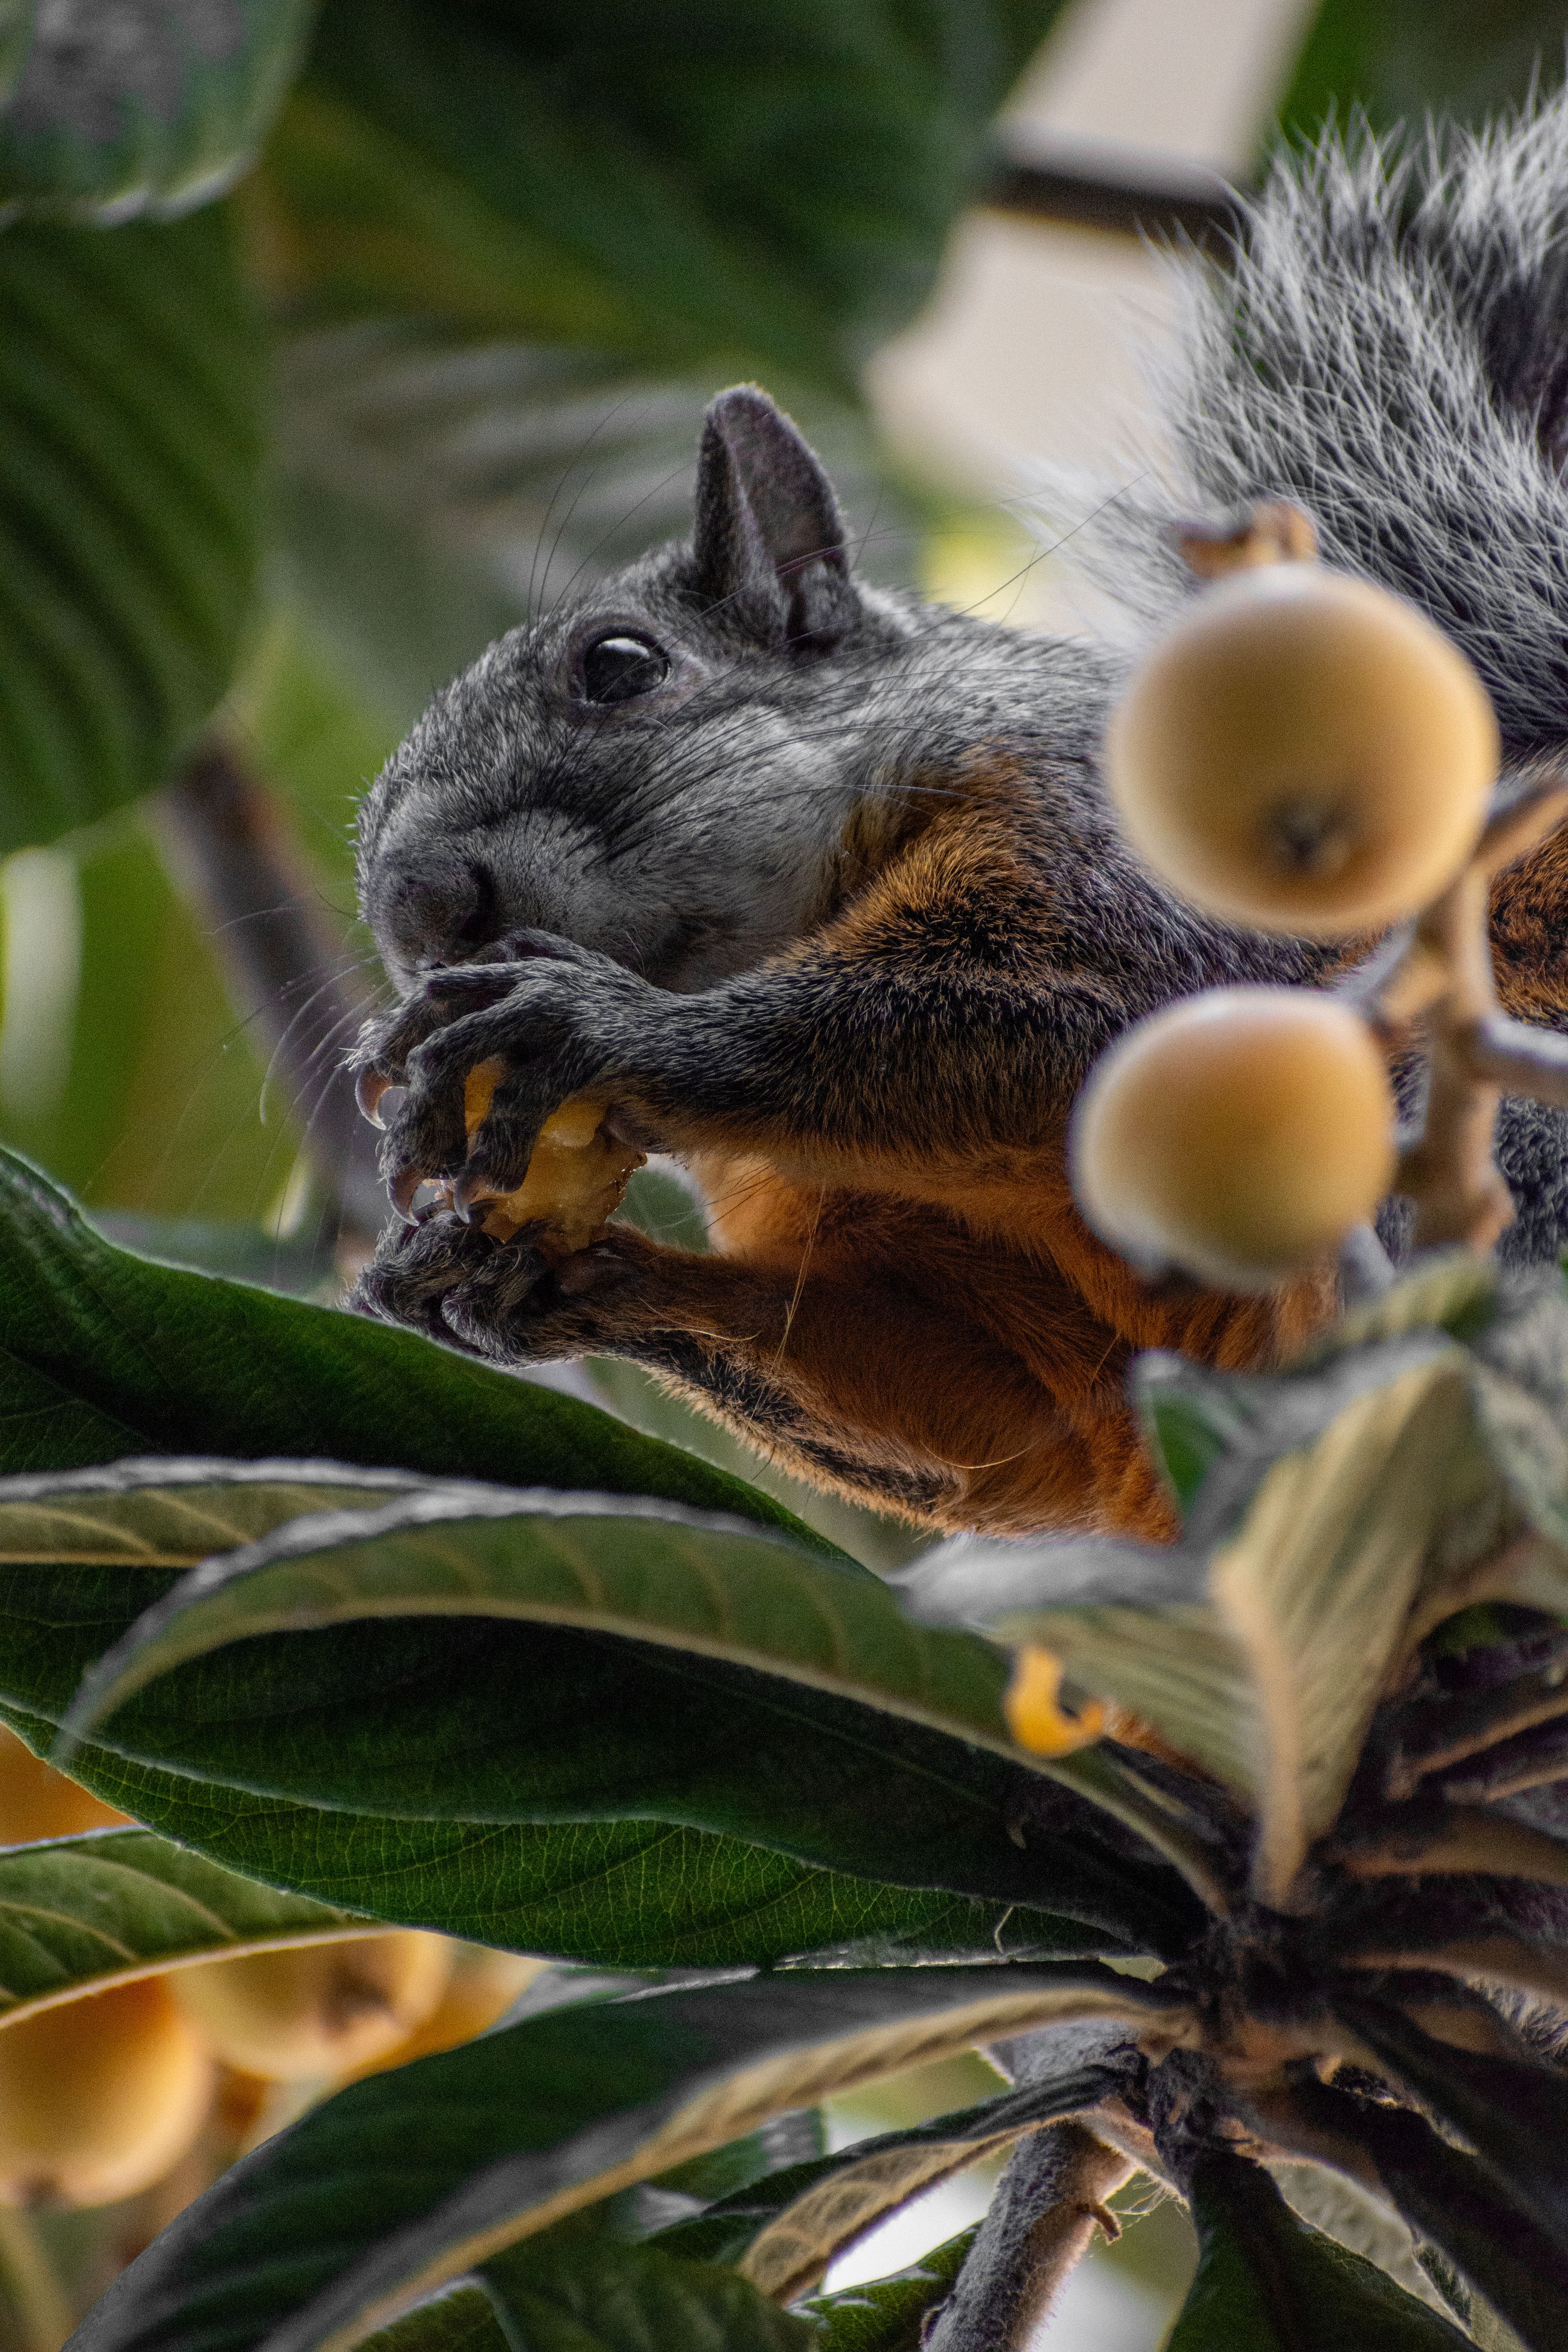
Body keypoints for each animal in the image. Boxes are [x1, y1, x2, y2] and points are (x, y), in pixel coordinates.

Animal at [348, 100, 1568, 1544]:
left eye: (620, 666)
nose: (423, 909)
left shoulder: (1104, 848)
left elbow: (1053, 1018)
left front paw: (595, 1027)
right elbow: (989, 1427)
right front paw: (508, 1274)